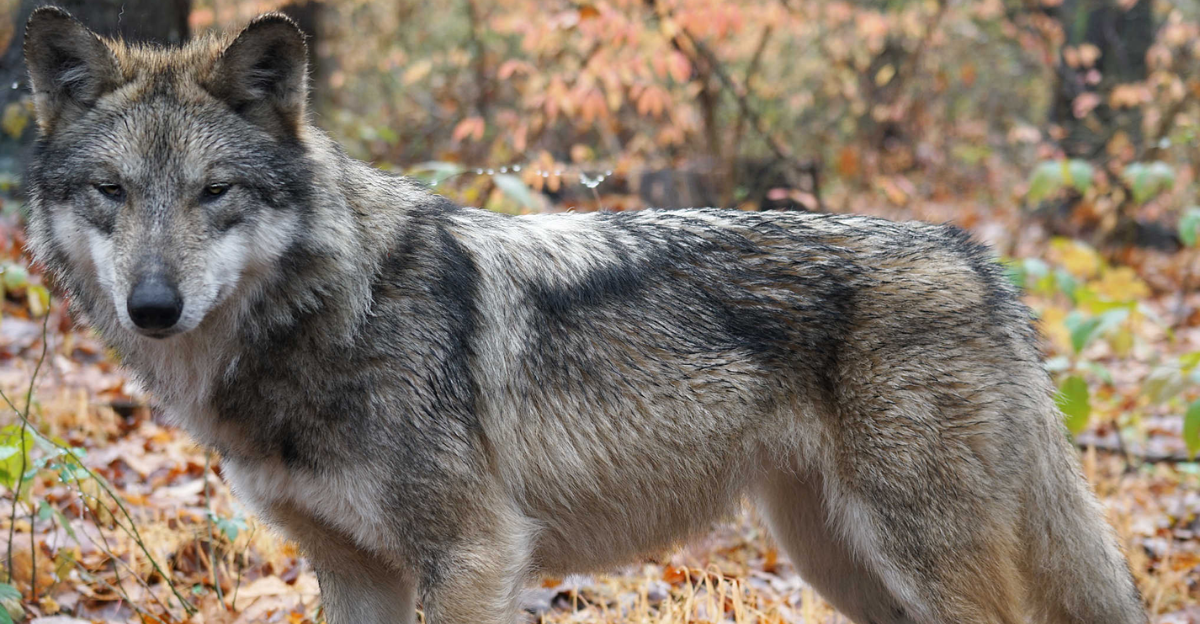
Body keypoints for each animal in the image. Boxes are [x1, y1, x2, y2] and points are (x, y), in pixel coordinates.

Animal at [22, 8, 1146, 624]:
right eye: (111, 194)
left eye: (215, 193)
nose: (153, 306)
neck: (334, 311)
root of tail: (978, 260)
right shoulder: (353, 572)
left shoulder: (474, 557)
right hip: (839, 561)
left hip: (914, 554)